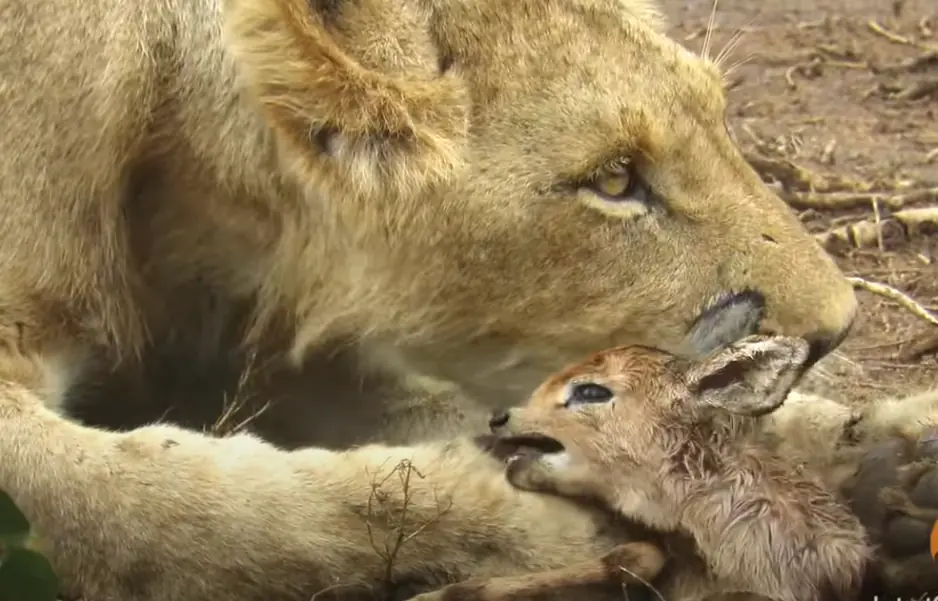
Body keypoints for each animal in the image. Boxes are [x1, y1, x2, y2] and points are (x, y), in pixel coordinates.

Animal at [0, 0, 937, 598]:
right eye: (614, 178)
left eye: (718, 112)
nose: (837, 330)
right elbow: (196, 503)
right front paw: (567, 527)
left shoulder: (277, 352)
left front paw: (892, 455)